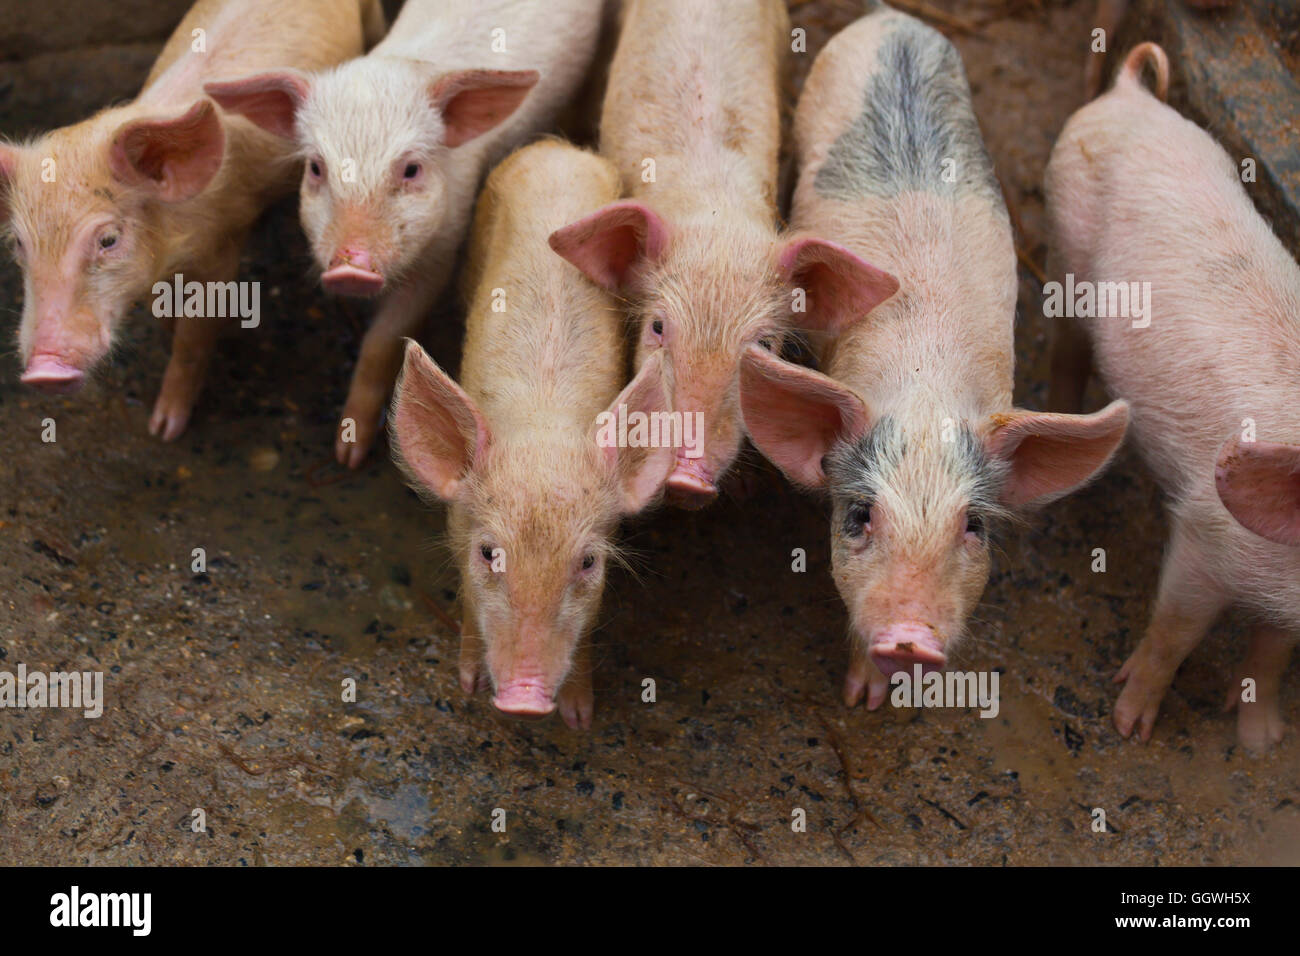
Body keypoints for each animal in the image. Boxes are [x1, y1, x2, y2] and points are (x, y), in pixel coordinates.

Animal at [0, 0, 384, 440]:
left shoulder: (224, 242)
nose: (43, 370)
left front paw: (163, 430)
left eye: (108, 239)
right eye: (18, 243)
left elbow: (193, 339)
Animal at [206, 0, 606, 468]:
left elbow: (383, 342)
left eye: (411, 169)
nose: (351, 265)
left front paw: (349, 456)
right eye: (317, 168)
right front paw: (345, 454)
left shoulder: (442, 249)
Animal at [390, 140, 673, 729]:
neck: (542, 428)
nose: (524, 697)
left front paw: (579, 718)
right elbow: (467, 603)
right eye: (489, 554)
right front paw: (469, 683)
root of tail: (556, 149)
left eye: (587, 561)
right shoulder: (457, 527)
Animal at [737, 9, 1130, 710]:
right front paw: (860, 699)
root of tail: (887, 16)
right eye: (859, 516)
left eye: (973, 526)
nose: (911, 638)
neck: (924, 386)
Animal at [1046, 42, 1299, 752]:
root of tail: (1131, 95)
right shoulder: (1206, 534)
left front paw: (1262, 742)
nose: (1270, 744)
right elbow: (1175, 633)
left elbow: (1272, 651)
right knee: (1068, 346)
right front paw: (1130, 728)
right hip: (1064, 245)